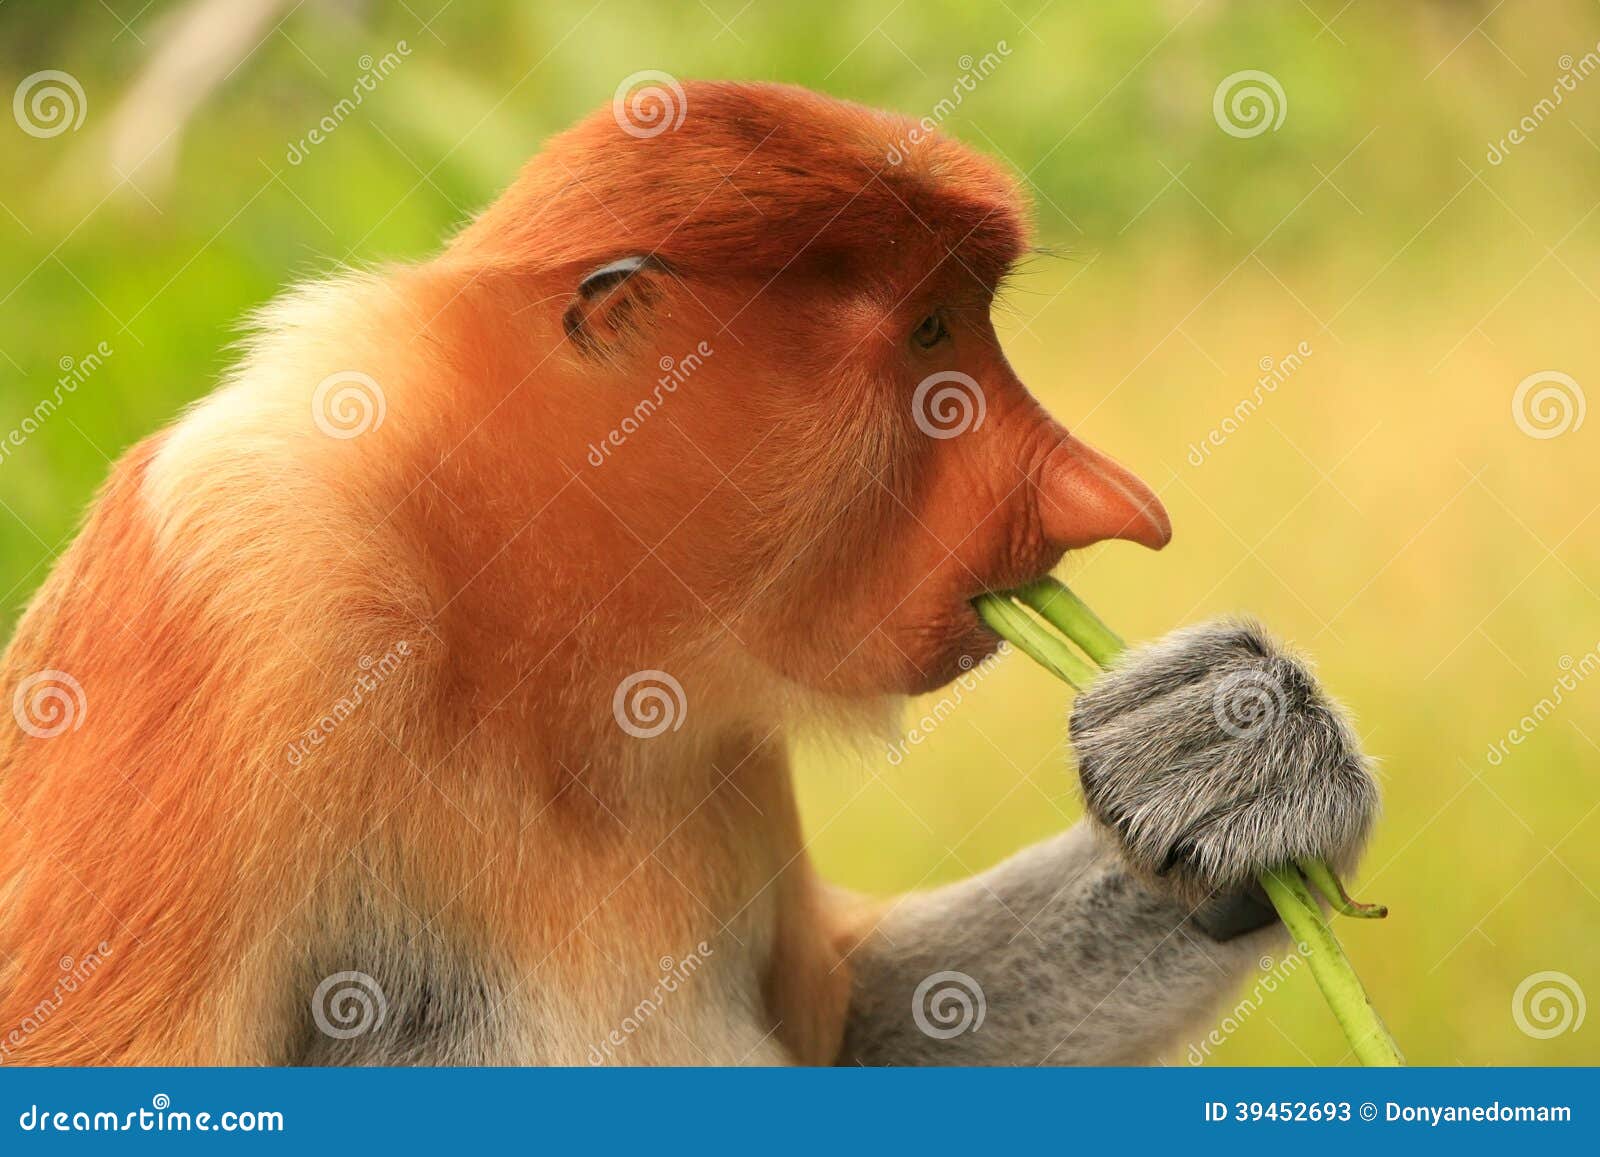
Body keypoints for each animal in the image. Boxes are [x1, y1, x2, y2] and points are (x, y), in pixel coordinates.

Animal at [0, 81, 1376, 1065]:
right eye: (933, 333)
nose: (1104, 501)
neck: (516, 609)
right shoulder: (255, 577)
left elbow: (866, 1024)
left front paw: (1245, 750)